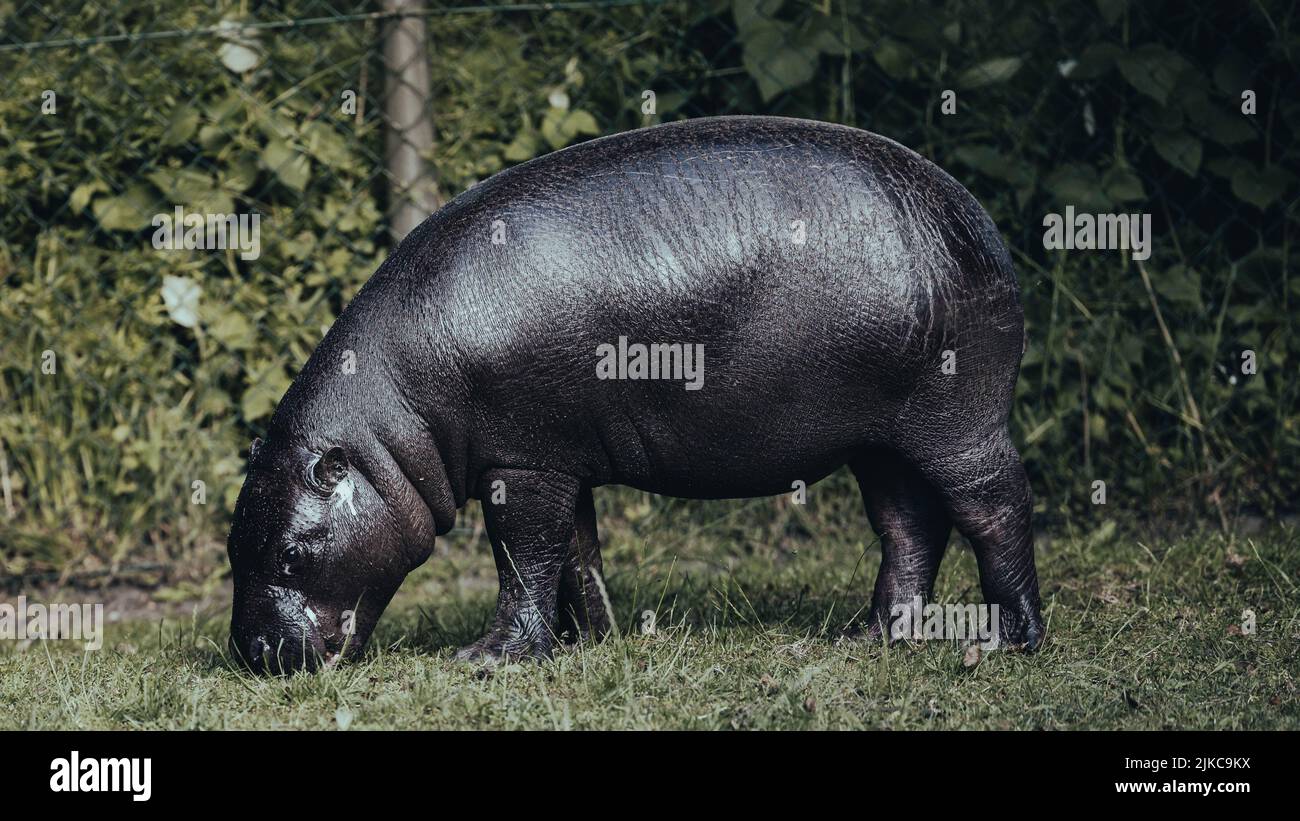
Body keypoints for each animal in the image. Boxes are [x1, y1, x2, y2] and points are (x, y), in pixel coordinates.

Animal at [226, 115, 1043, 672]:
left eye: (294, 553)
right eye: (234, 545)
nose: (251, 654)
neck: (390, 426)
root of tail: (980, 223)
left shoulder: (522, 463)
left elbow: (522, 560)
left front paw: (490, 657)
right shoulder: (558, 460)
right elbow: (576, 554)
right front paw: (592, 641)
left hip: (955, 421)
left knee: (995, 506)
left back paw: (1007, 643)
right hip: (881, 438)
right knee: (908, 526)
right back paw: (872, 636)